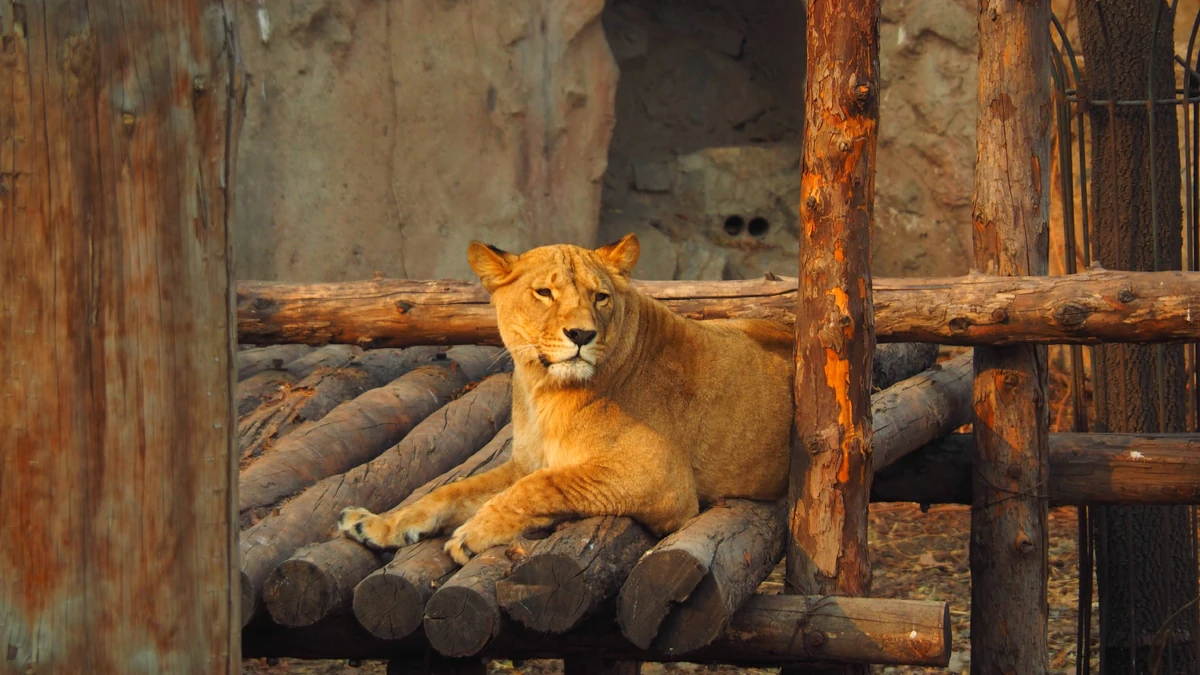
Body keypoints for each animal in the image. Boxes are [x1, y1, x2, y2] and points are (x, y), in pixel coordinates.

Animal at [338, 233, 794, 564]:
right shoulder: (525, 460)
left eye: (600, 297)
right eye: (544, 293)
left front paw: (472, 534)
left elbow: (541, 486)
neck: (544, 390)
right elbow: (451, 490)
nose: (581, 334)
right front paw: (377, 524)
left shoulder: (664, 480)